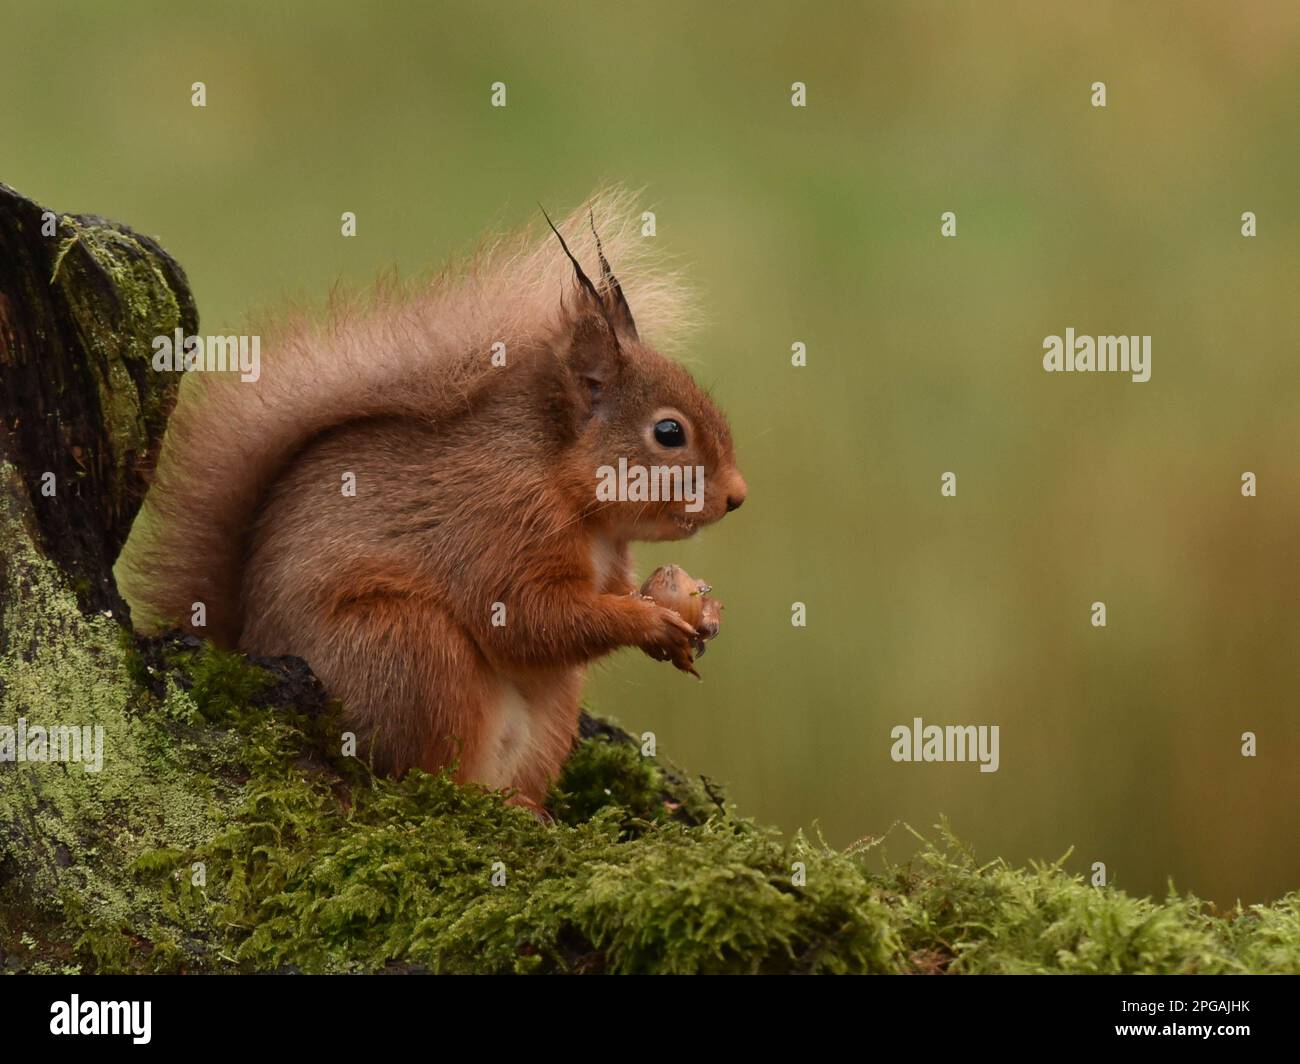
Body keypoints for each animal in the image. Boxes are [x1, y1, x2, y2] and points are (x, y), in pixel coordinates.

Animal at [126, 190, 746, 808]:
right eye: (669, 433)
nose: (737, 497)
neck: (569, 494)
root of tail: (246, 646)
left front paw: (702, 613)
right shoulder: (500, 523)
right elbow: (529, 619)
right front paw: (652, 622)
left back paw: (527, 811)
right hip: (410, 650)